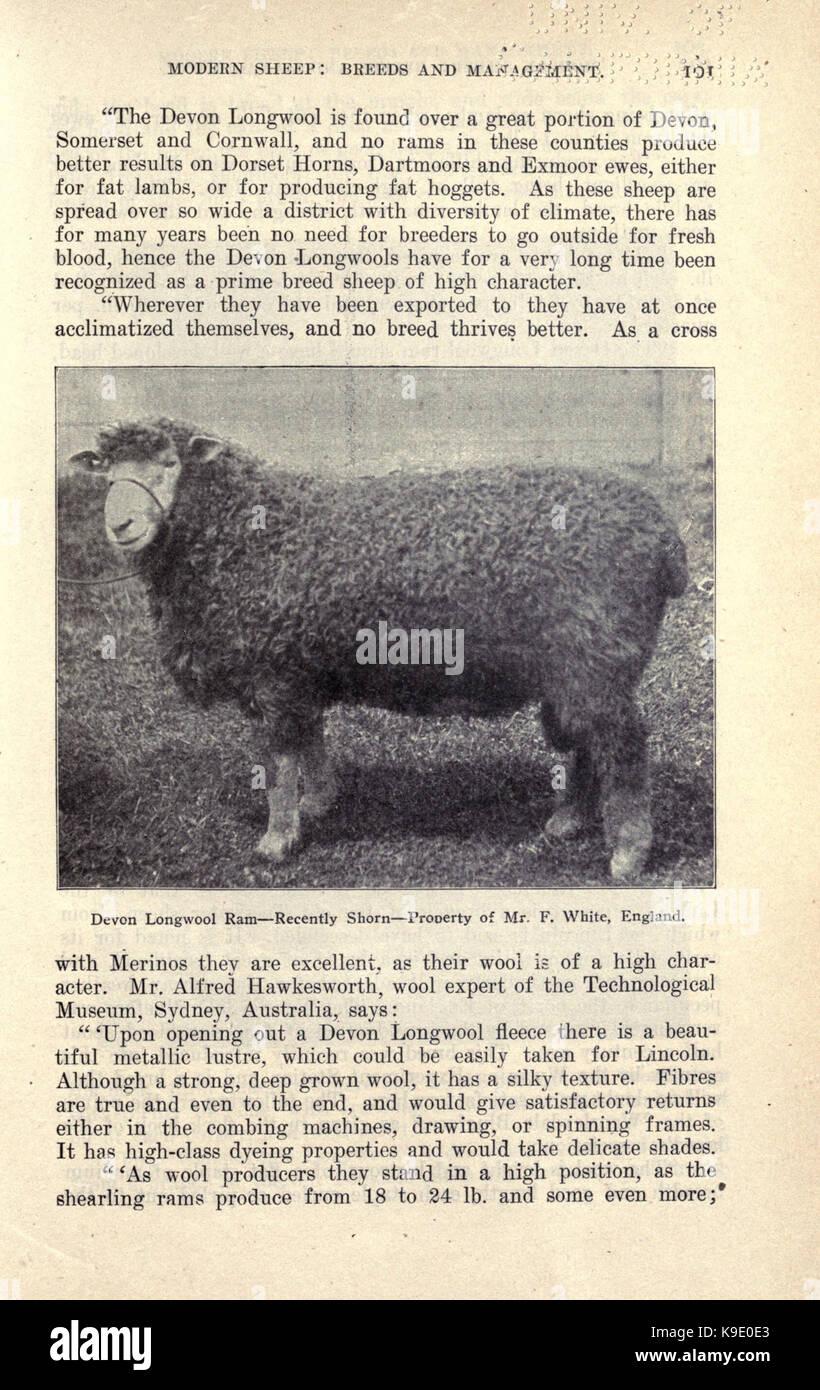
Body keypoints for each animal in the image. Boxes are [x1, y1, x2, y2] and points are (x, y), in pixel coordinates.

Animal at [69, 417, 688, 880]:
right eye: (107, 475)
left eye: (169, 464)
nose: (121, 524)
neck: (244, 532)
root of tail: (664, 533)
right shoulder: (298, 665)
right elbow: (310, 741)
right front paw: (318, 805)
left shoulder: (272, 670)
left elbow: (279, 759)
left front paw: (277, 839)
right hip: (578, 667)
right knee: (587, 741)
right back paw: (569, 822)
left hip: (598, 656)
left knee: (623, 745)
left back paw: (628, 852)